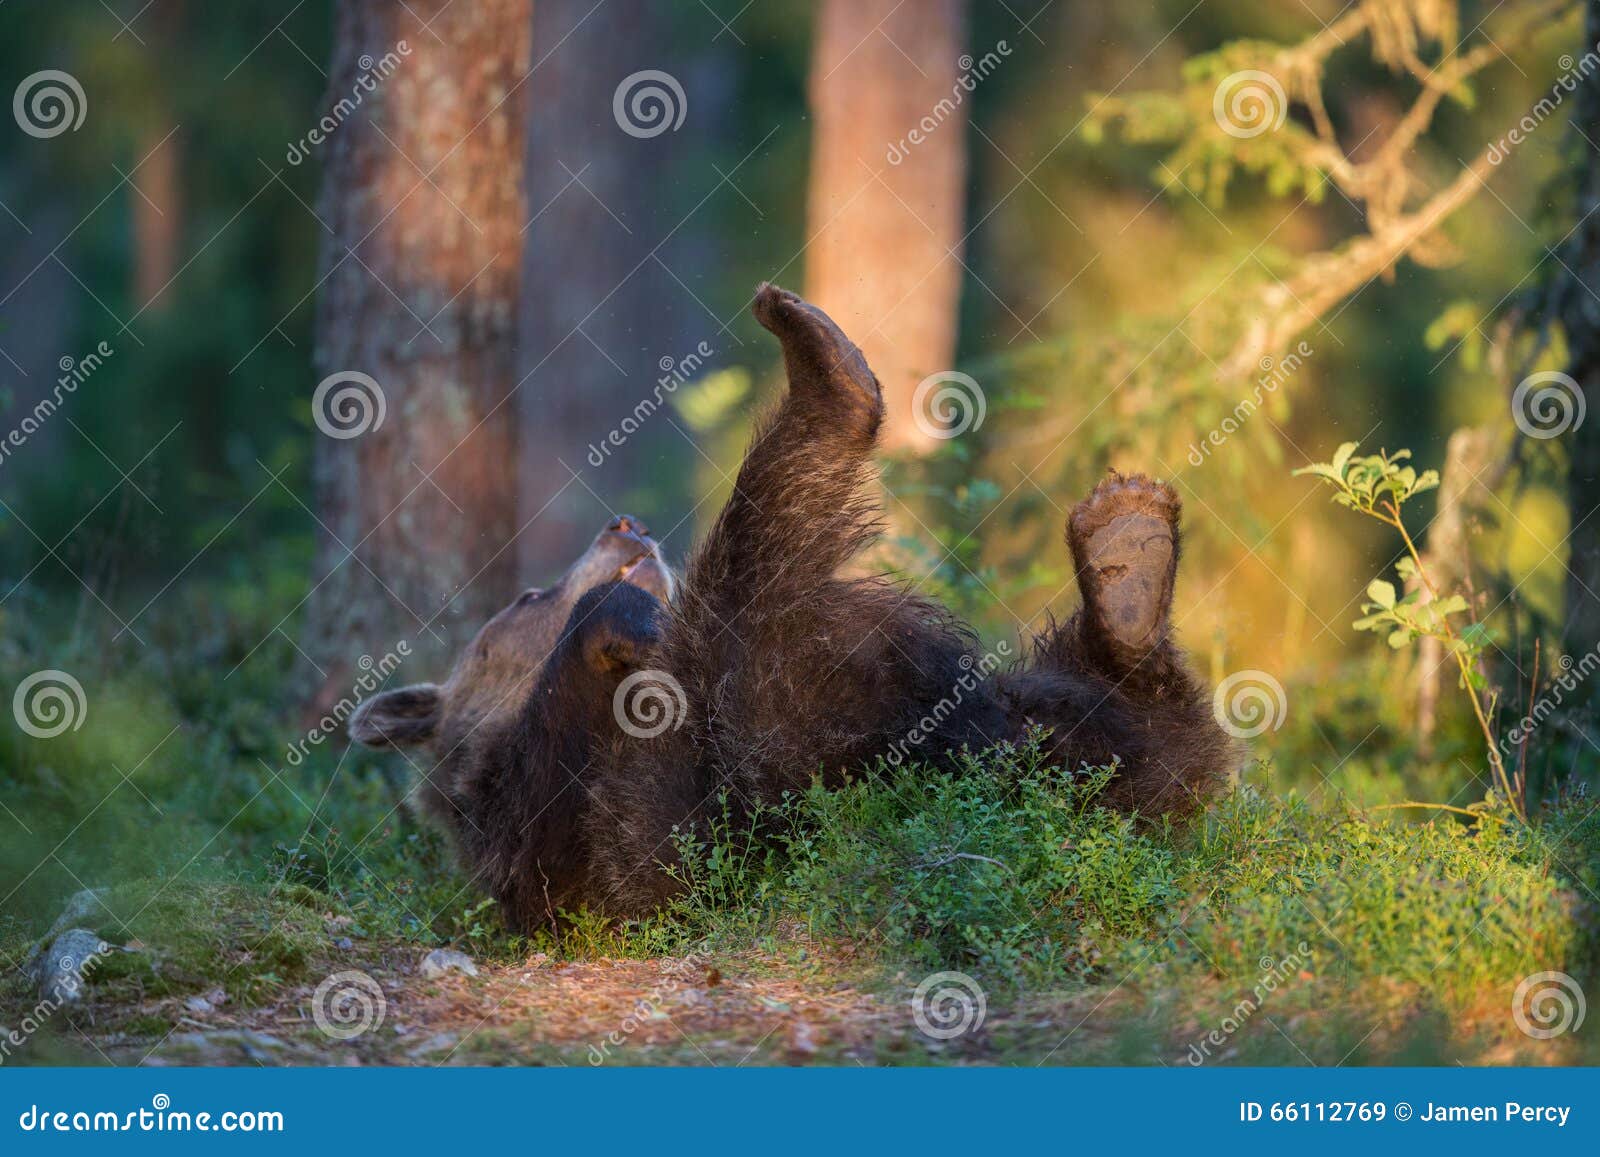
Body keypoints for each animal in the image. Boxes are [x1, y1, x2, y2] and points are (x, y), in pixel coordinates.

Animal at [349, 284, 1234, 931]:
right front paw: (625, 617)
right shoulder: (569, 822)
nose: (624, 523)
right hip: (769, 747)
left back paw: (1127, 560)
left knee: (1126, 720)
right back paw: (830, 374)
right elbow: (591, 836)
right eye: (528, 595)